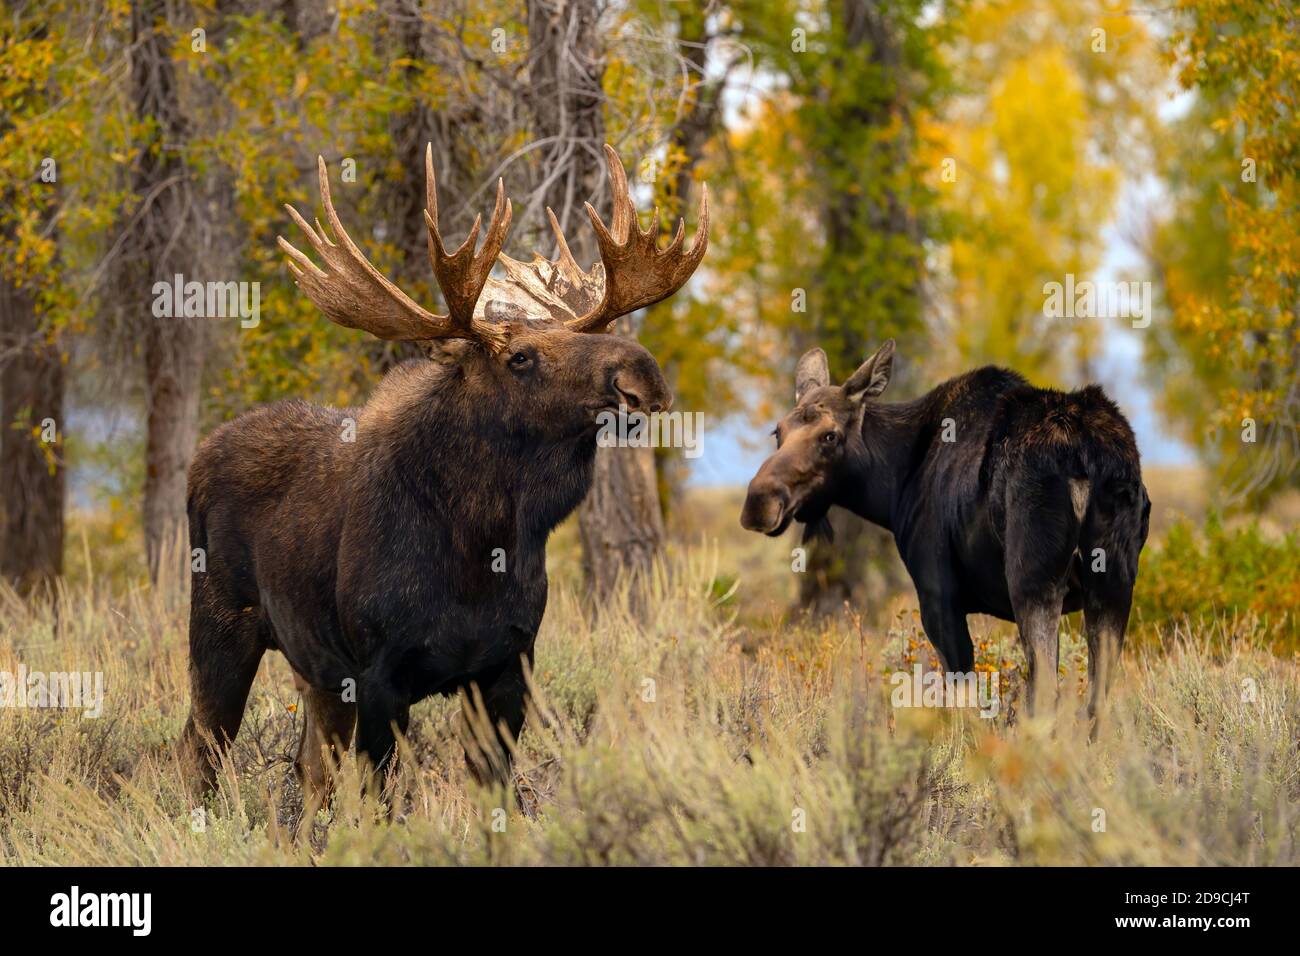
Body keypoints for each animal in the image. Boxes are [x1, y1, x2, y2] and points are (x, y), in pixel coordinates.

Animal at [179, 144, 708, 800]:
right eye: (520, 356)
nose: (644, 375)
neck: (480, 545)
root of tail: (200, 458)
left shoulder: (507, 668)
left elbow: (495, 790)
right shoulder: (380, 675)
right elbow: (378, 799)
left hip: (314, 669)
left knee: (309, 767)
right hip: (221, 626)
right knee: (199, 751)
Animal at [740, 341, 1150, 730]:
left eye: (829, 436)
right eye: (778, 431)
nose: (760, 502)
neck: (891, 486)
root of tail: (1084, 459)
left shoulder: (938, 597)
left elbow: (965, 705)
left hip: (1034, 582)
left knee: (1048, 693)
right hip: (1113, 584)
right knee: (1098, 700)